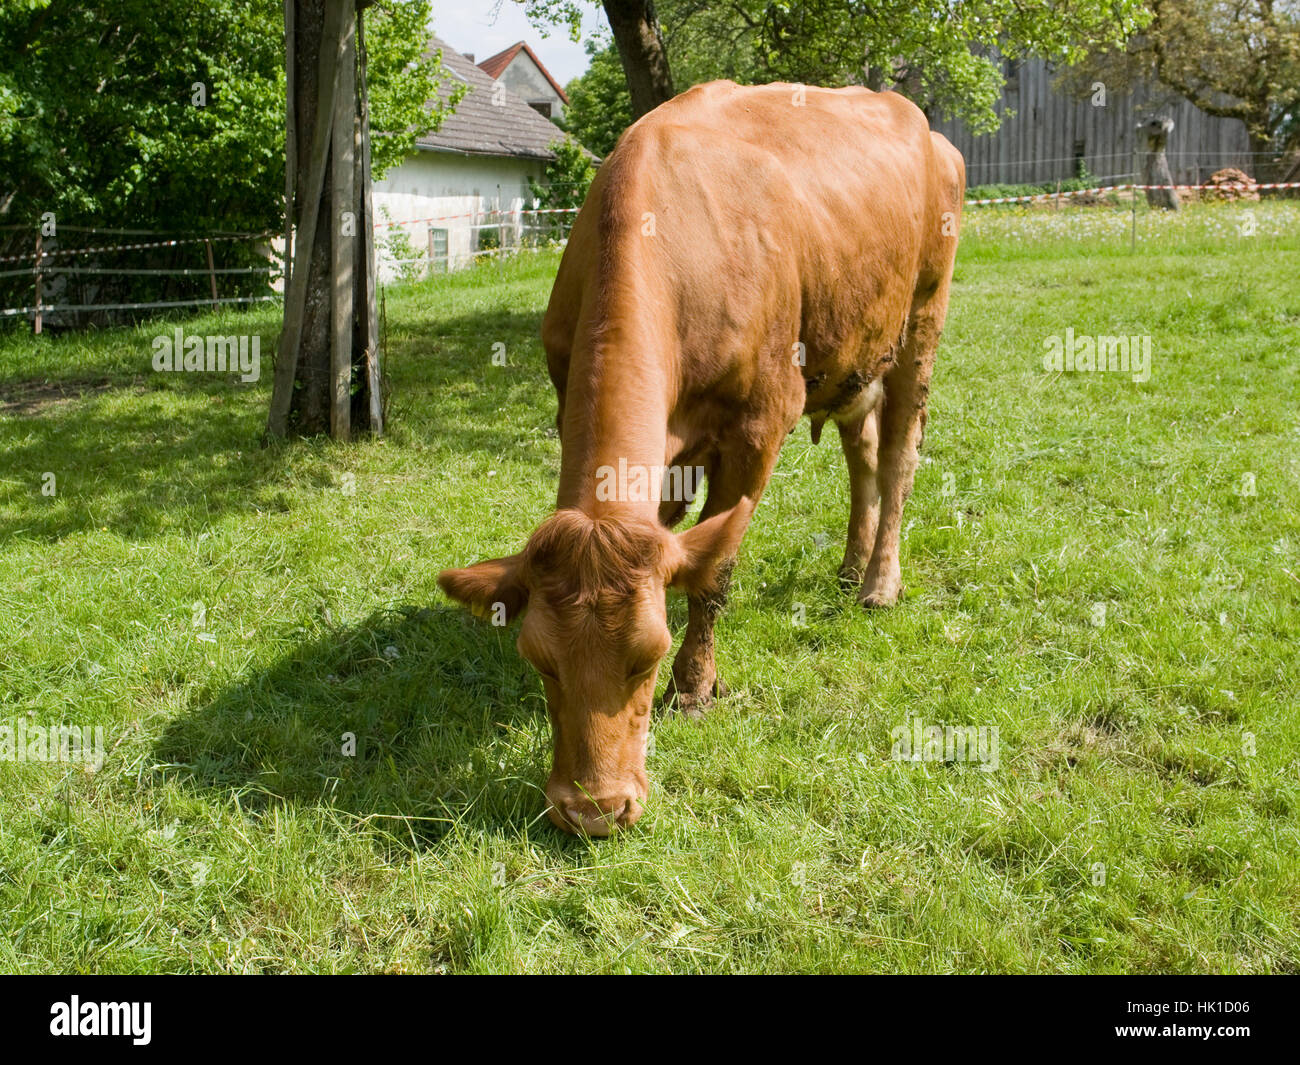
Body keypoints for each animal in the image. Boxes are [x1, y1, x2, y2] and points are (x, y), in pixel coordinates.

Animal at [439, 80, 965, 836]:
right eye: (540, 661)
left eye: (648, 655)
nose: (594, 810)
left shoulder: (758, 427)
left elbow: (712, 573)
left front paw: (694, 687)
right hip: (854, 352)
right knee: (861, 450)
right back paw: (849, 565)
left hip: (921, 318)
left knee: (897, 456)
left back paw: (878, 583)